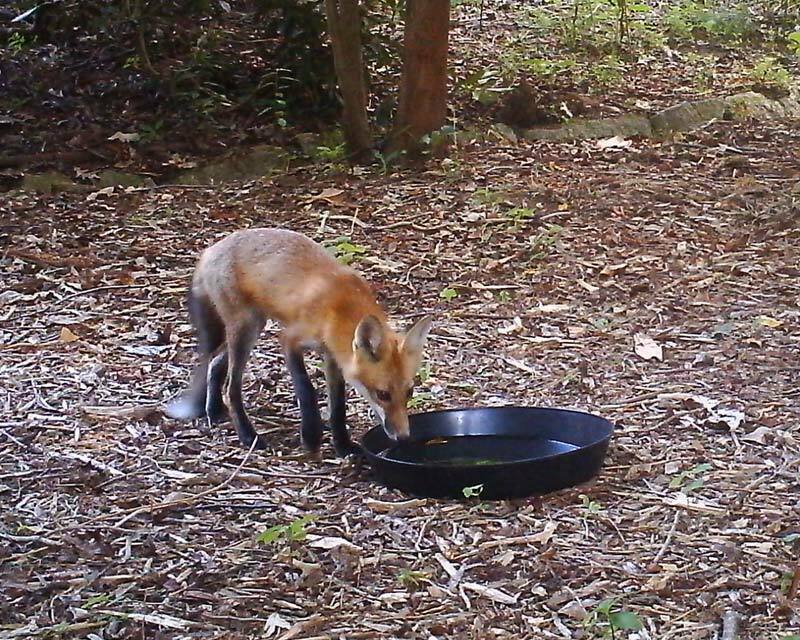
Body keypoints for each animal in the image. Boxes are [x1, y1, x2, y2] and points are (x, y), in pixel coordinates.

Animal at [164, 228, 432, 456]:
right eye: (383, 394)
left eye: (410, 391)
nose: (404, 438)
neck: (338, 310)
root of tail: (210, 250)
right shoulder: (290, 339)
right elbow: (306, 388)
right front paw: (311, 436)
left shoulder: (333, 355)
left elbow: (338, 406)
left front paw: (343, 445)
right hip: (245, 329)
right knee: (231, 385)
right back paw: (248, 436)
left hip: (252, 327)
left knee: (215, 362)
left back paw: (213, 411)